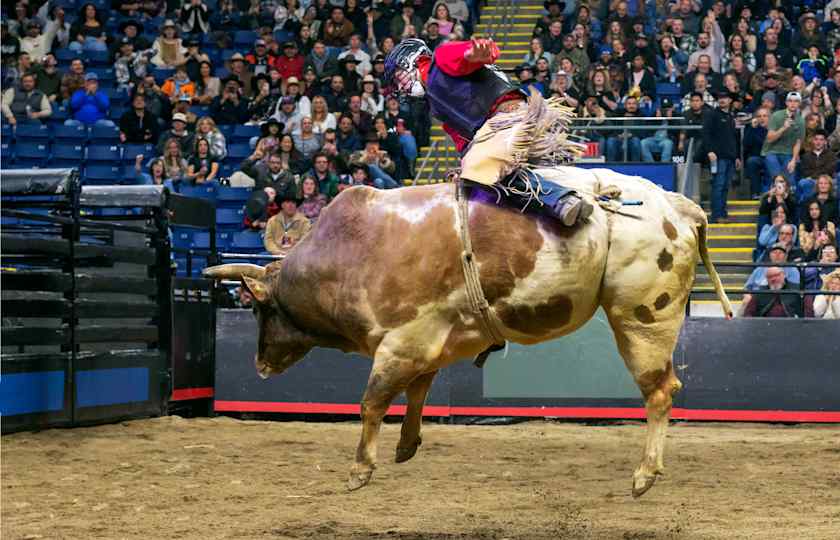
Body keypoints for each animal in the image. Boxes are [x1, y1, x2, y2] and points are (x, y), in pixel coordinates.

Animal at [204, 165, 733, 498]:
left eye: (260, 309)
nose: (260, 364)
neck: (352, 251)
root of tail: (678, 206)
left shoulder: (400, 342)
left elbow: (373, 401)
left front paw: (360, 470)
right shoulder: (435, 341)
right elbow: (419, 389)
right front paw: (406, 444)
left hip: (641, 317)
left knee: (660, 390)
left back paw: (644, 475)